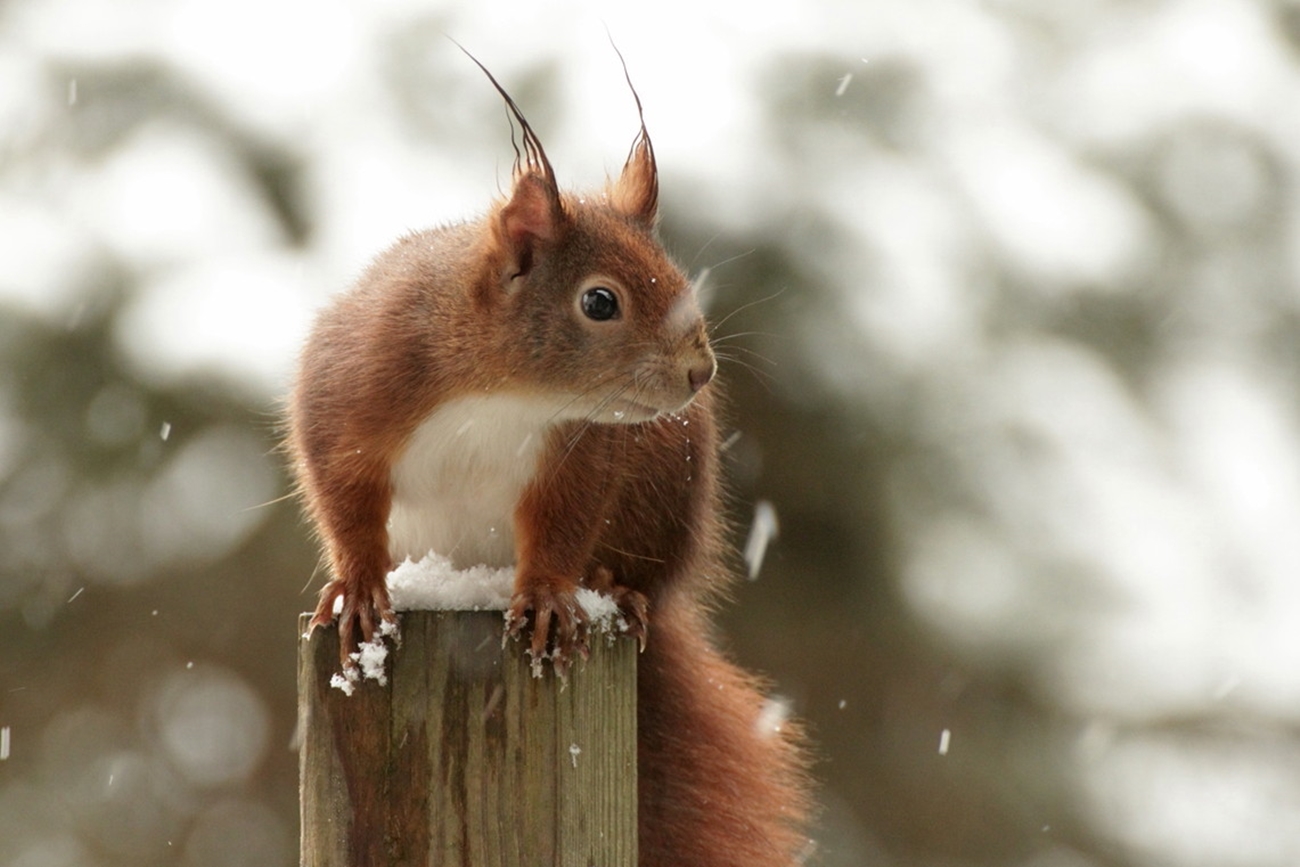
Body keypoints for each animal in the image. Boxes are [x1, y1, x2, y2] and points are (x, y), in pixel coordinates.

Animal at [286, 51, 812, 867]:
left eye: (680, 280)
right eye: (600, 302)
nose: (701, 374)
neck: (503, 393)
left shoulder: (580, 450)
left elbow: (563, 523)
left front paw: (547, 600)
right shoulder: (350, 393)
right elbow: (342, 494)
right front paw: (360, 586)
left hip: (667, 490)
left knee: (644, 578)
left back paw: (614, 591)